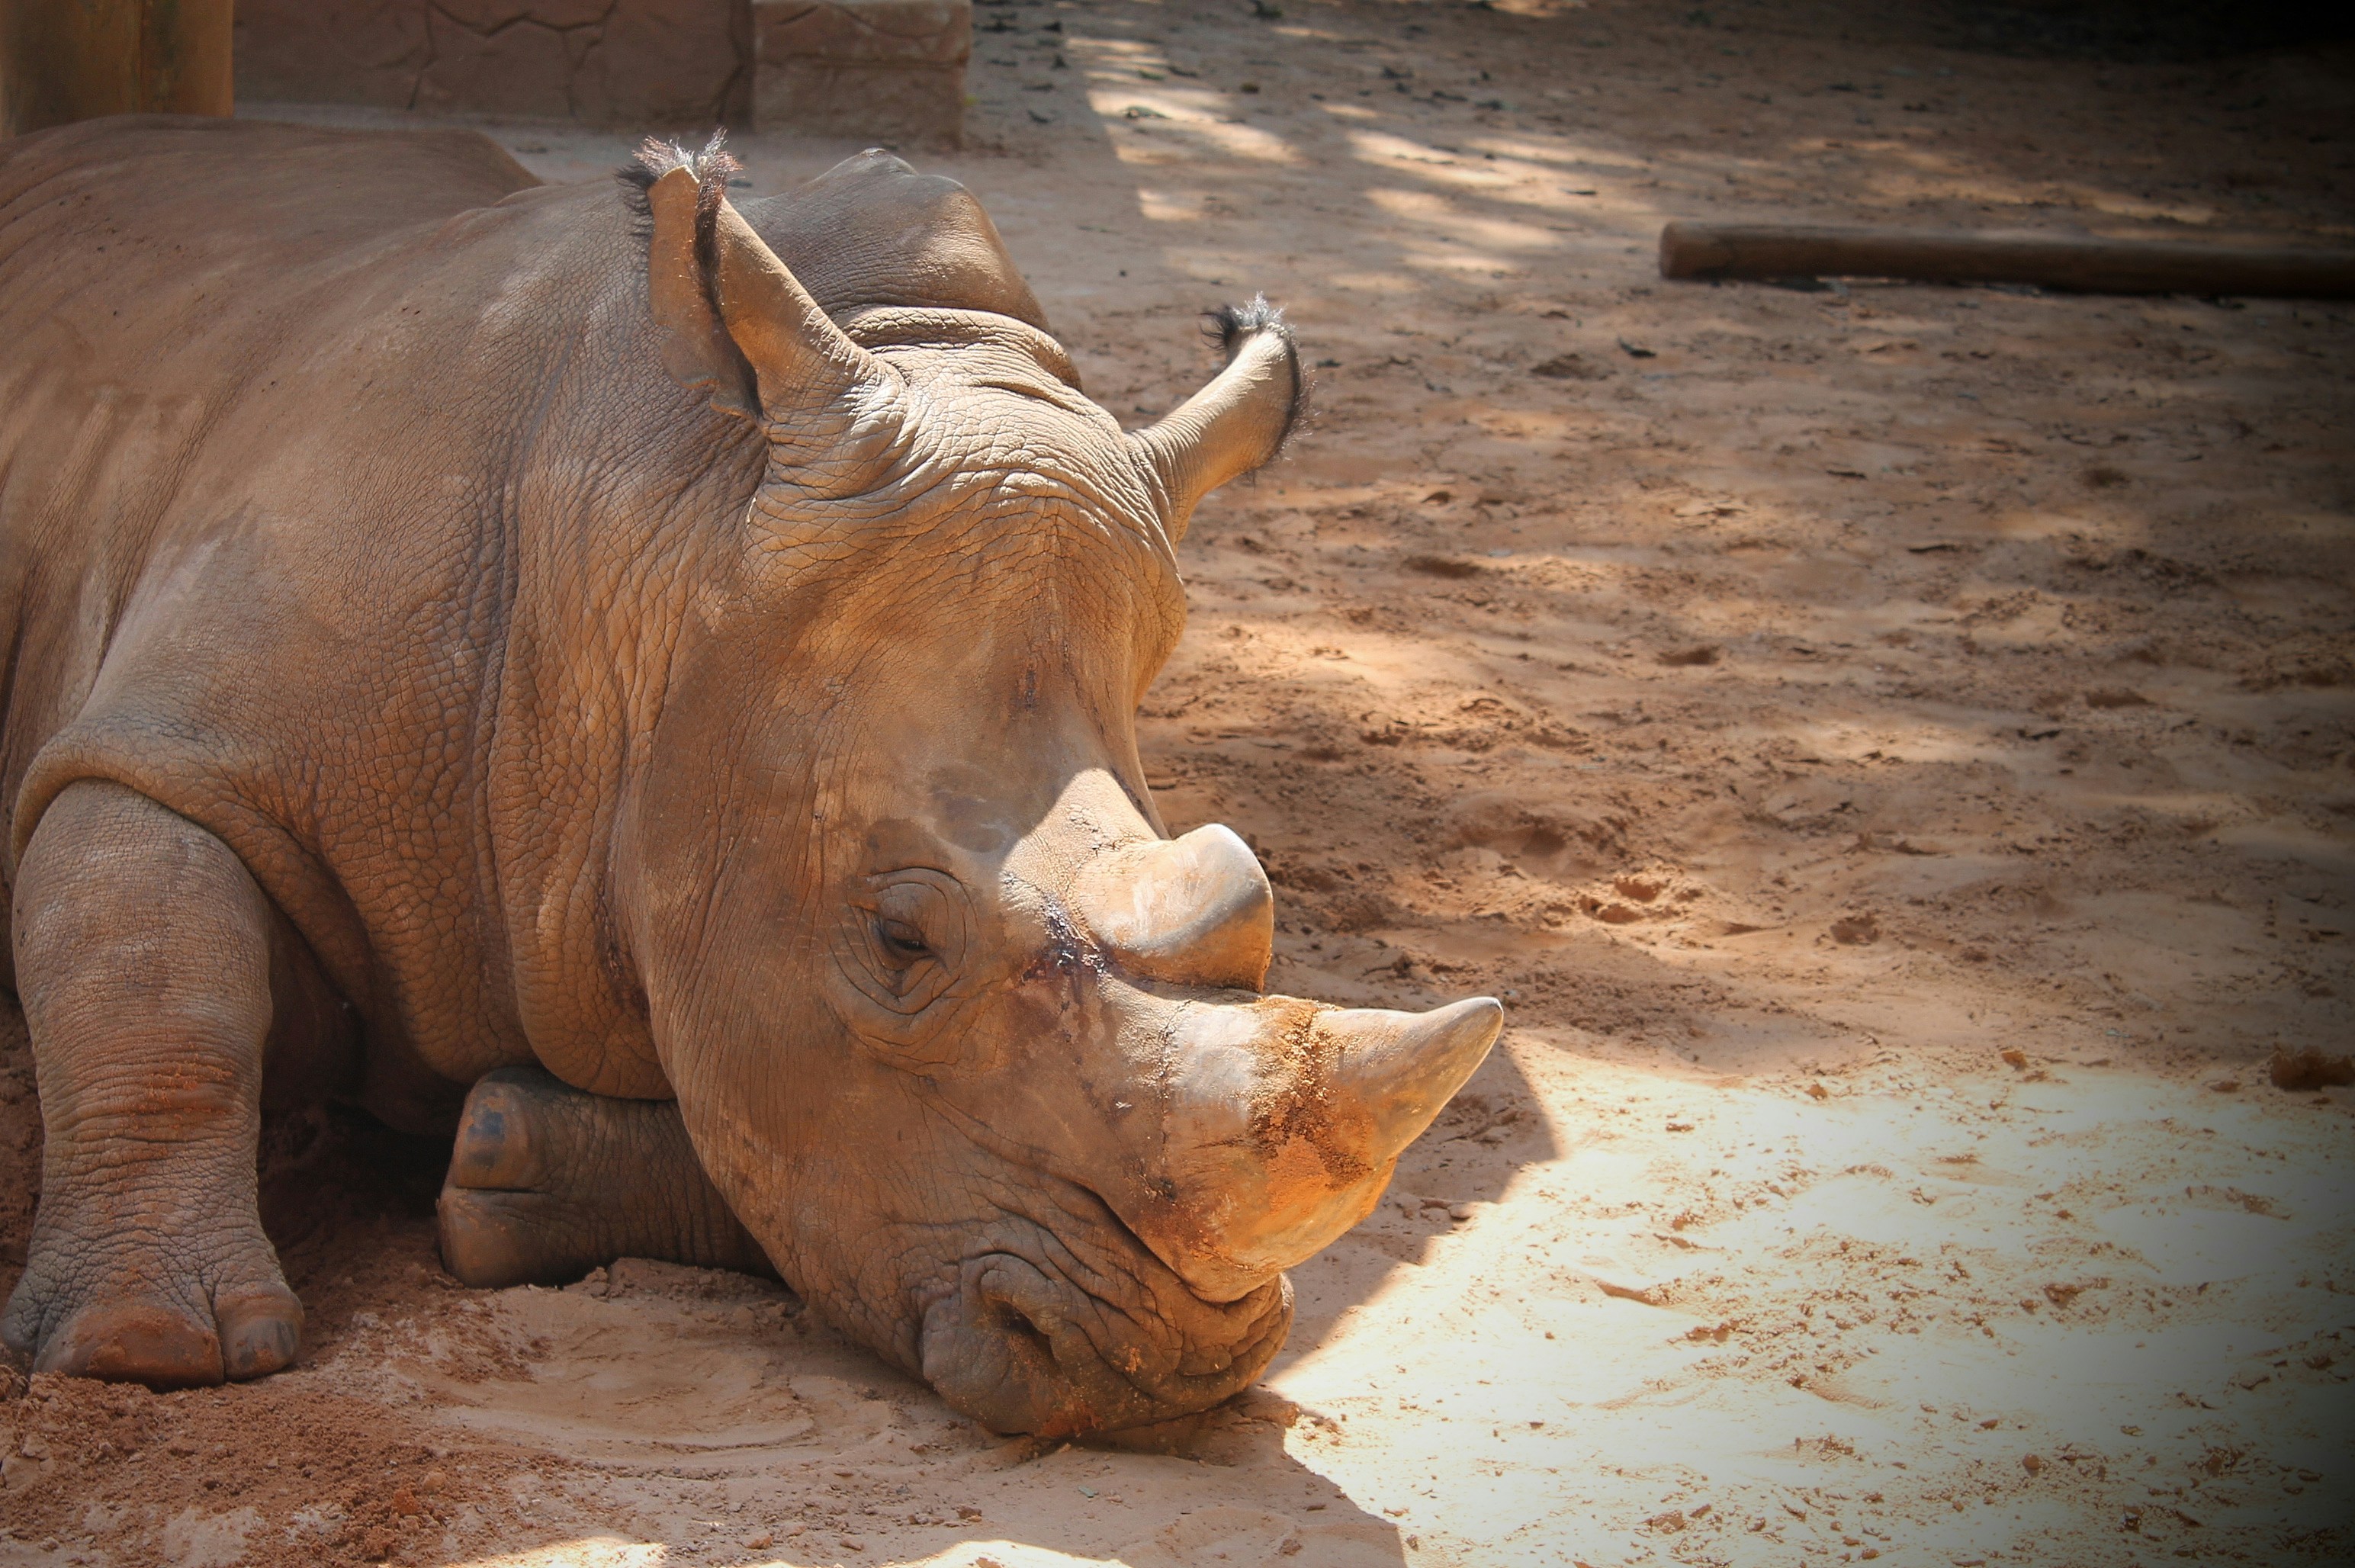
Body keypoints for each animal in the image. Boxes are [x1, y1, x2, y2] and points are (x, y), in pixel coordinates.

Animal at [0, 116, 1500, 1436]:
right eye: (899, 941)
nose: (1165, 1374)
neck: (656, 543)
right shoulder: (184, 747)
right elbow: (154, 963)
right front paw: (151, 1351)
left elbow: (770, 1128)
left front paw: (501, 1165)